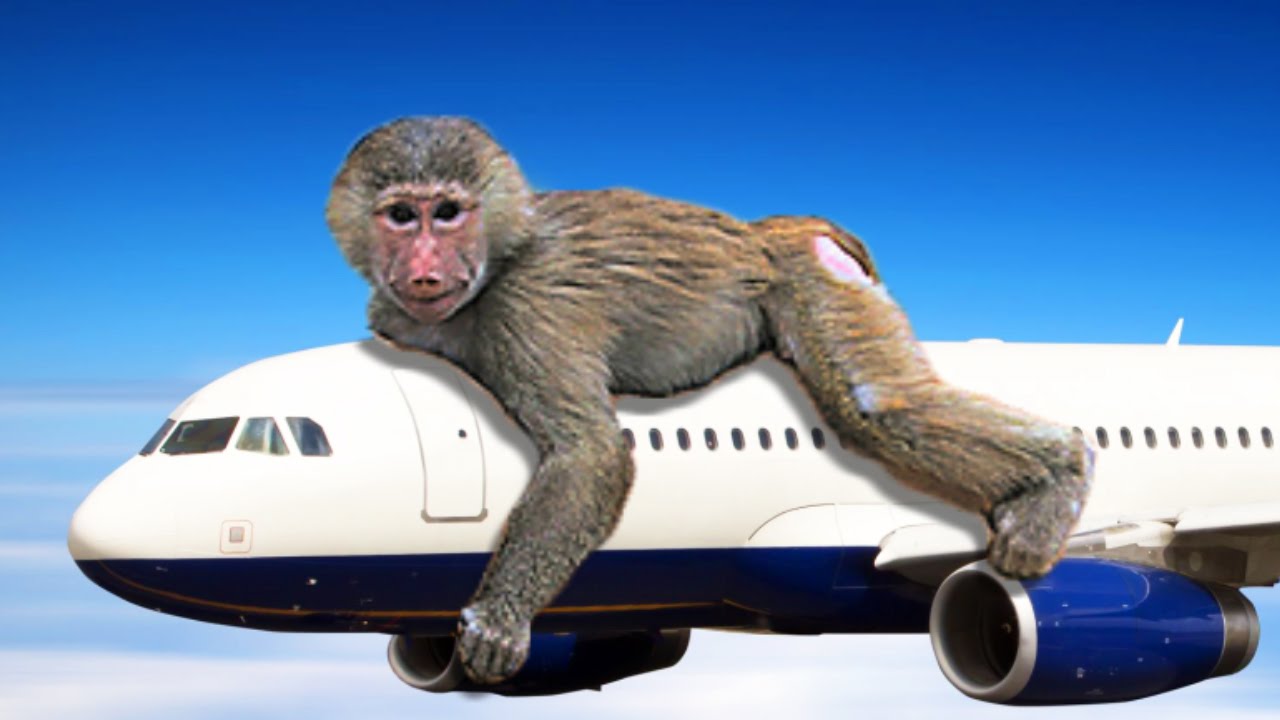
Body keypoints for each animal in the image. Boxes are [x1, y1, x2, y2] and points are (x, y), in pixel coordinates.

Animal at [325, 117, 1094, 685]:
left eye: (308, 438)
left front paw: (497, 622)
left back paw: (1057, 480)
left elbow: (590, 452)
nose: (423, 269)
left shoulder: (529, 313)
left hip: (812, 286)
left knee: (879, 406)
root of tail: (785, 225)